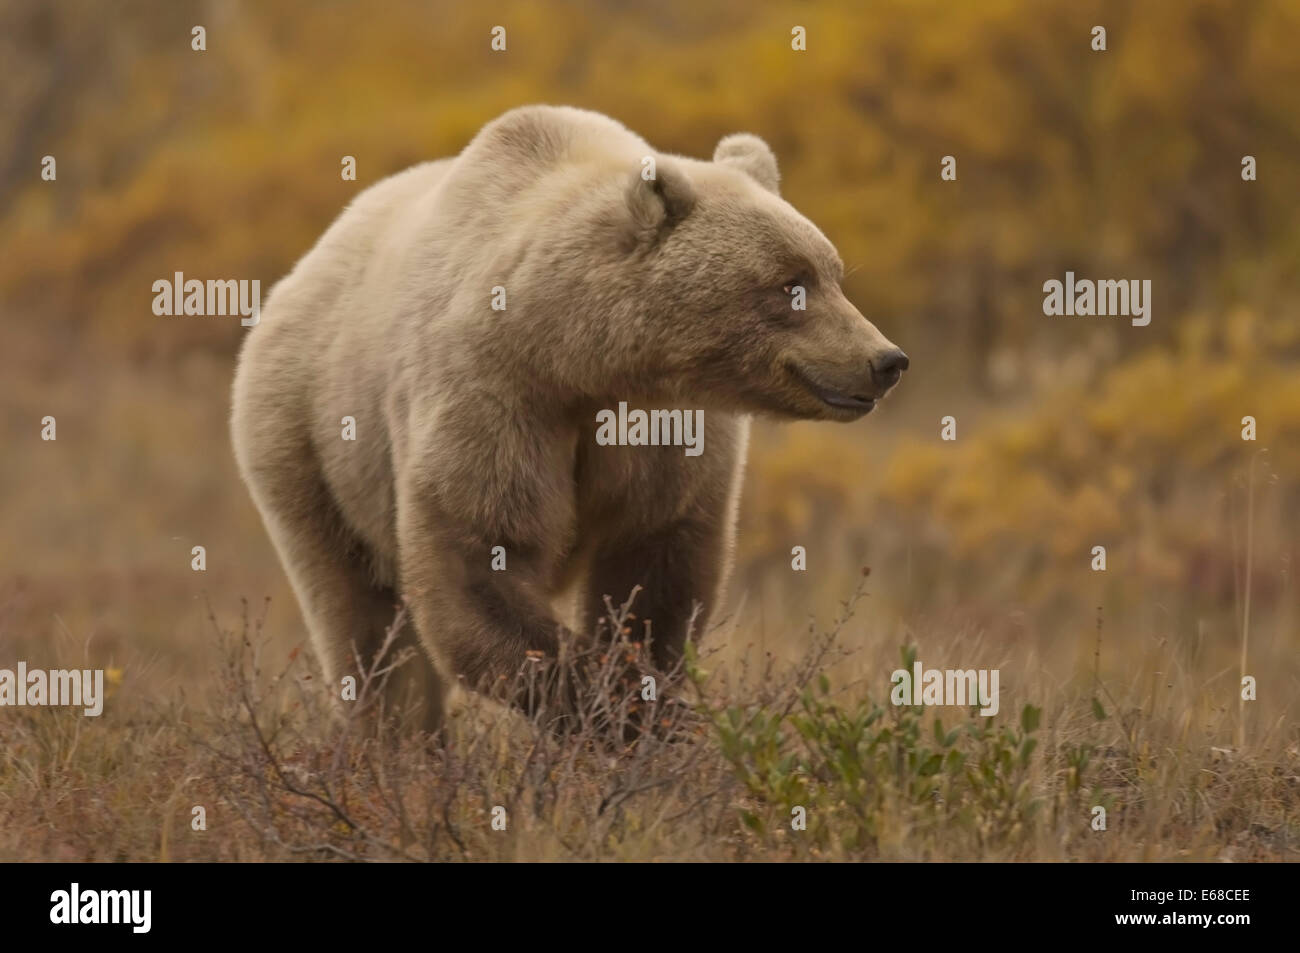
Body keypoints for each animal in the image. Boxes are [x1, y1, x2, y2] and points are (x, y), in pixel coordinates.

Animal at [230, 105, 907, 730]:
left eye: (833, 274)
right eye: (790, 284)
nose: (885, 360)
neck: (583, 359)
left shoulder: (668, 429)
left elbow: (659, 567)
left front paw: (650, 697)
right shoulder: (497, 394)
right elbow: (479, 553)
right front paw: (634, 712)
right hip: (308, 442)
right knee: (364, 623)